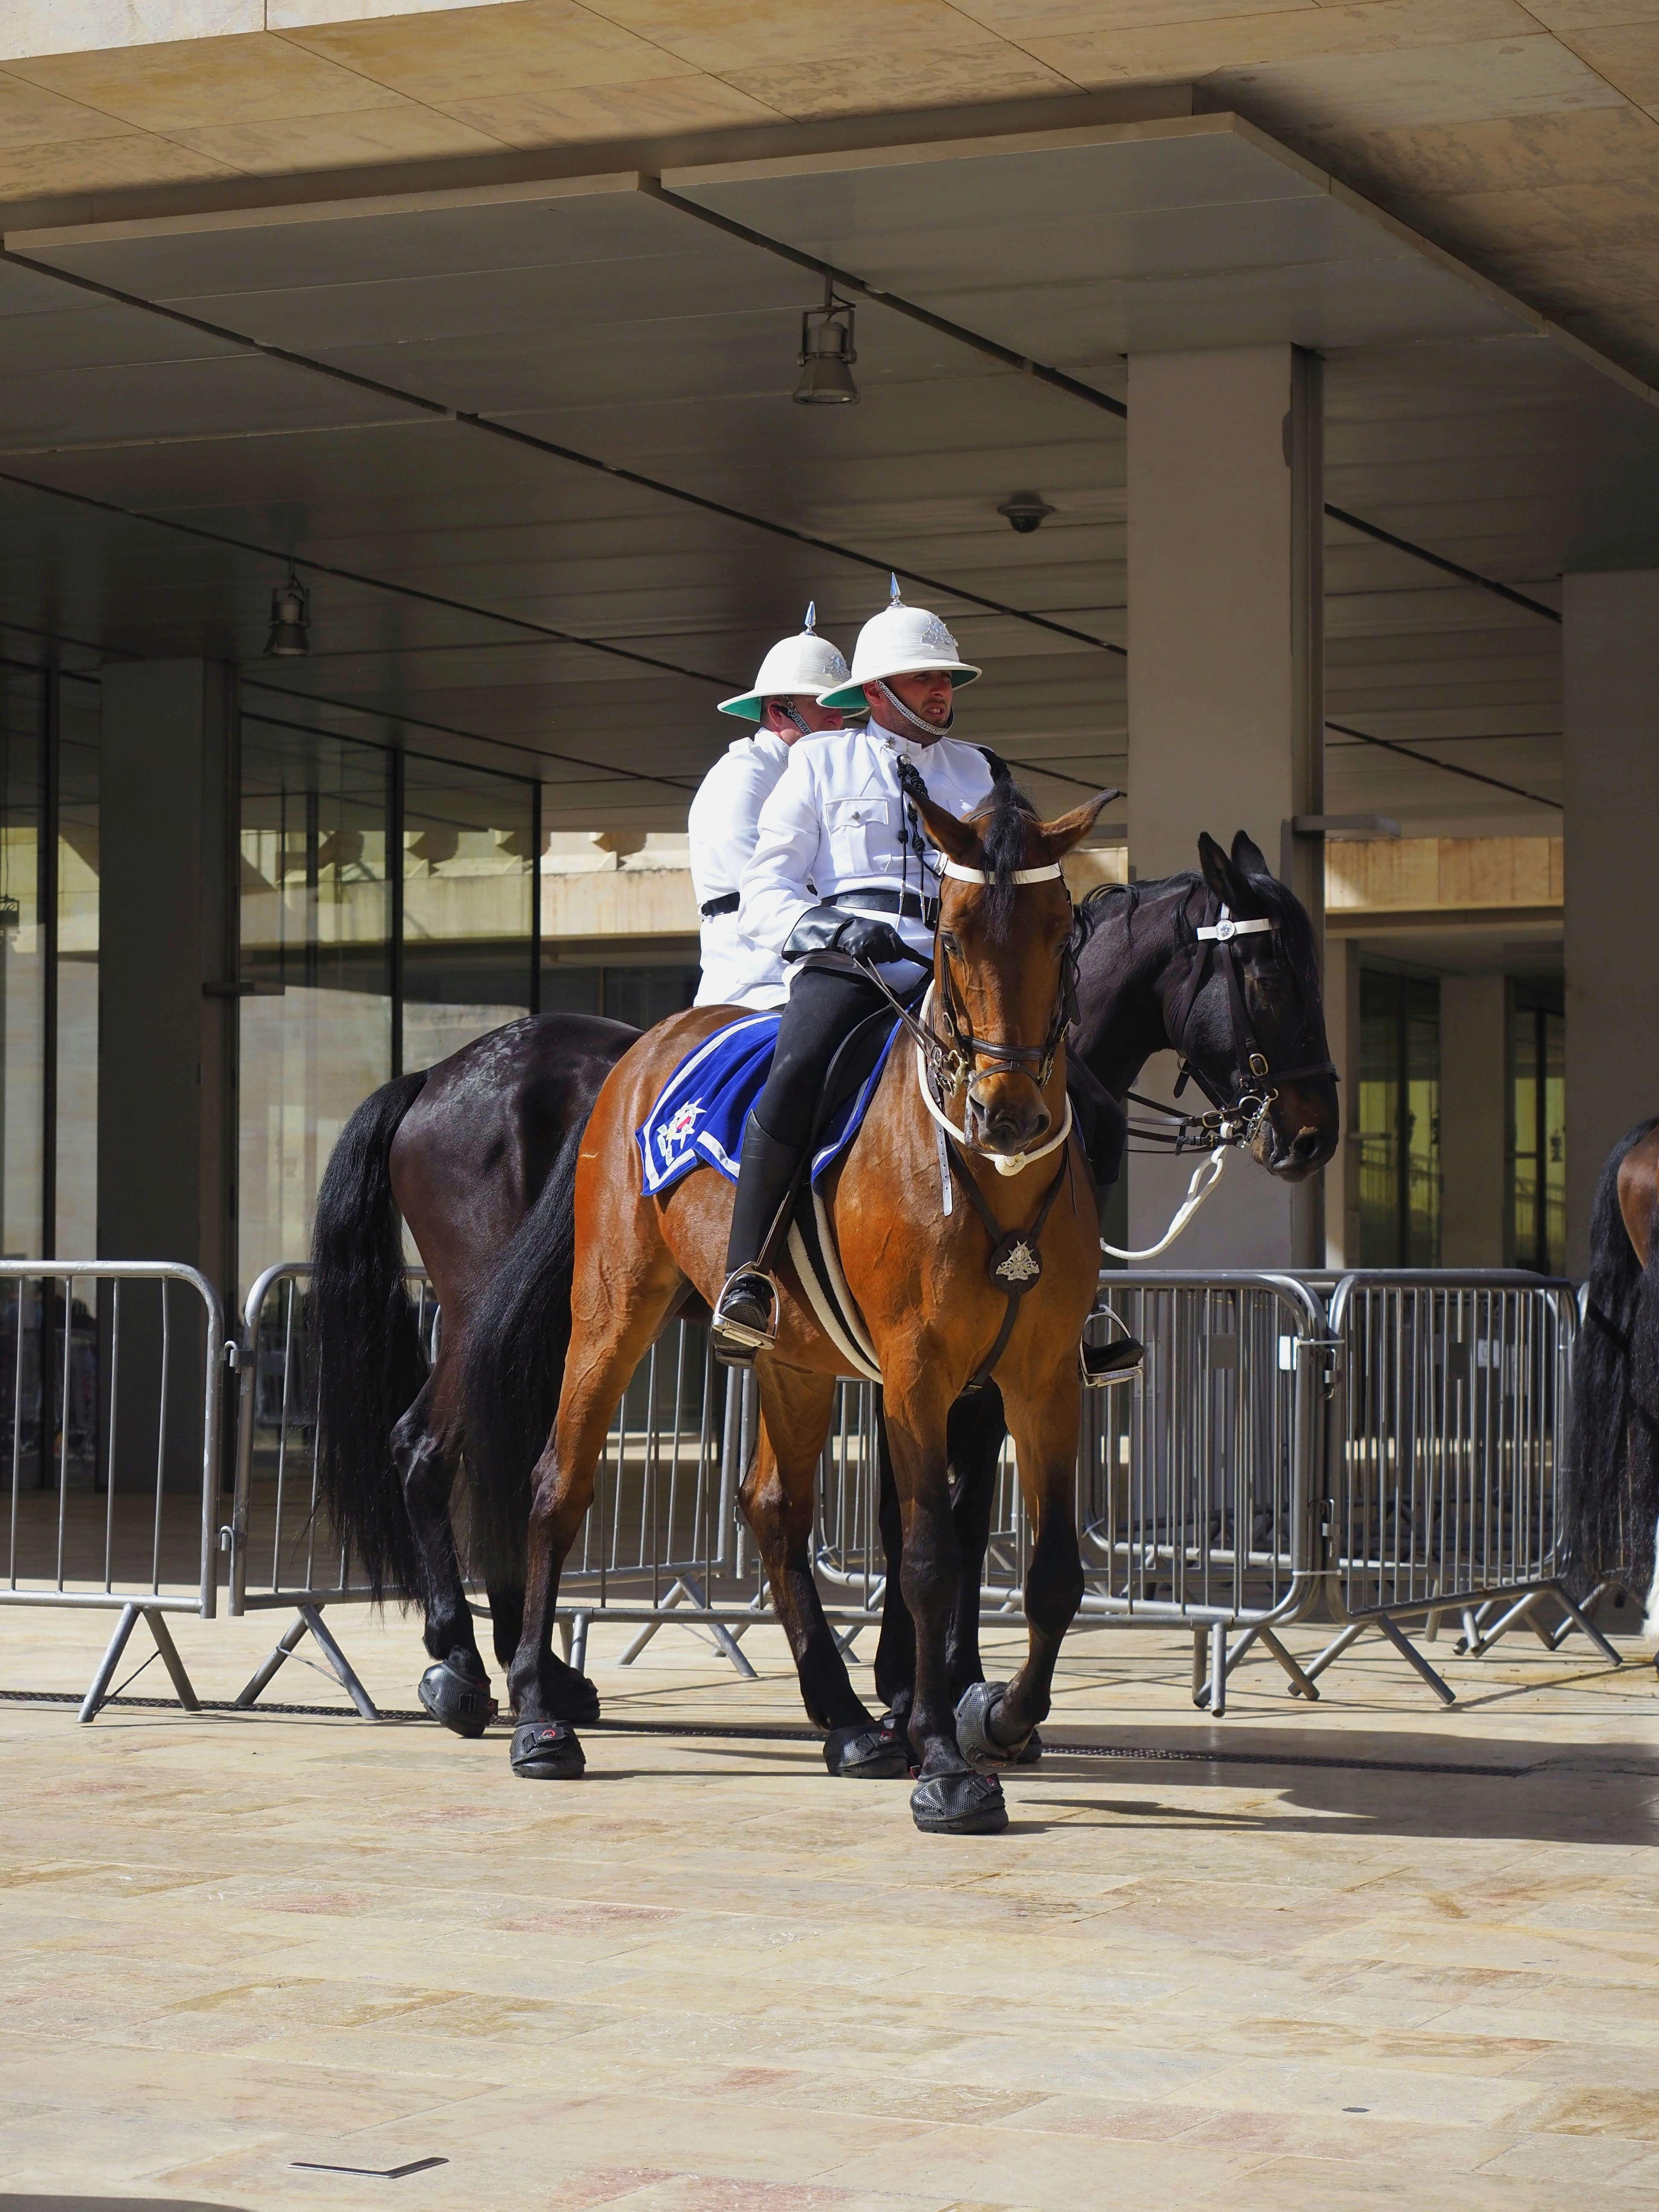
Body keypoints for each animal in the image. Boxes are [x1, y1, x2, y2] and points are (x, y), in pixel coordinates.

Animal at [309, 827, 1337, 1741]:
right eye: (1267, 973)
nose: (1311, 1133)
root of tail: (435, 1072)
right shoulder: (930, 1365)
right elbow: (924, 1520)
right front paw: (927, 1687)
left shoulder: (983, 1368)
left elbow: (950, 1519)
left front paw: (940, 1686)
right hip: (507, 1310)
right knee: (429, 1446)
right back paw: (465, 1664)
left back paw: (542, 1671)